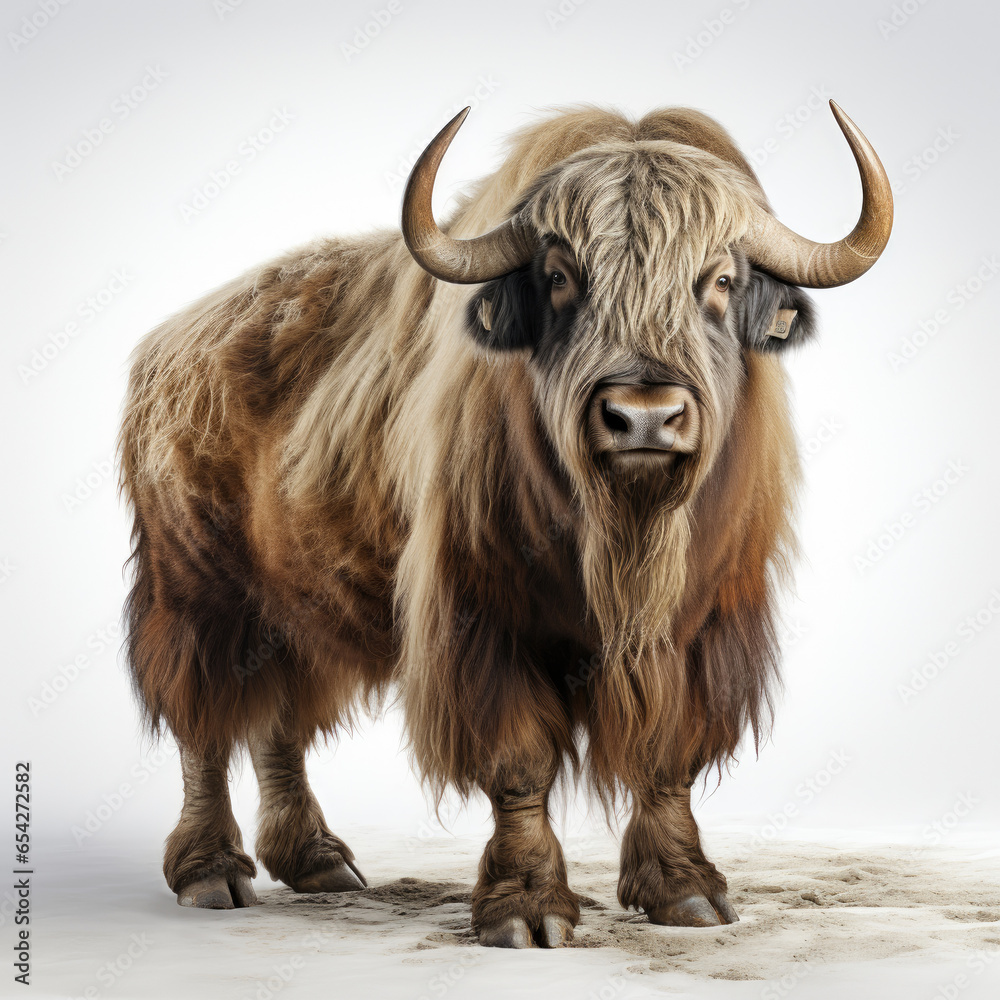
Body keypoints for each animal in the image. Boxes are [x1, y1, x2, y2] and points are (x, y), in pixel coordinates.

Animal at [118, 99, 892, 948]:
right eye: (559, 278)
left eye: (719, 279)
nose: (643, 416)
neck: (620, 536)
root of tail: (165, 348)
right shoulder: (486, 624)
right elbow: (519, 762)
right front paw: (526, 910)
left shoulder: (700, 633)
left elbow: (669, 758)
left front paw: (688, 894)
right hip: (196, 594)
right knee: (203, 722)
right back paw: (212, 875)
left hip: (293, 611)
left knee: (277, 724)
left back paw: (319, 863)